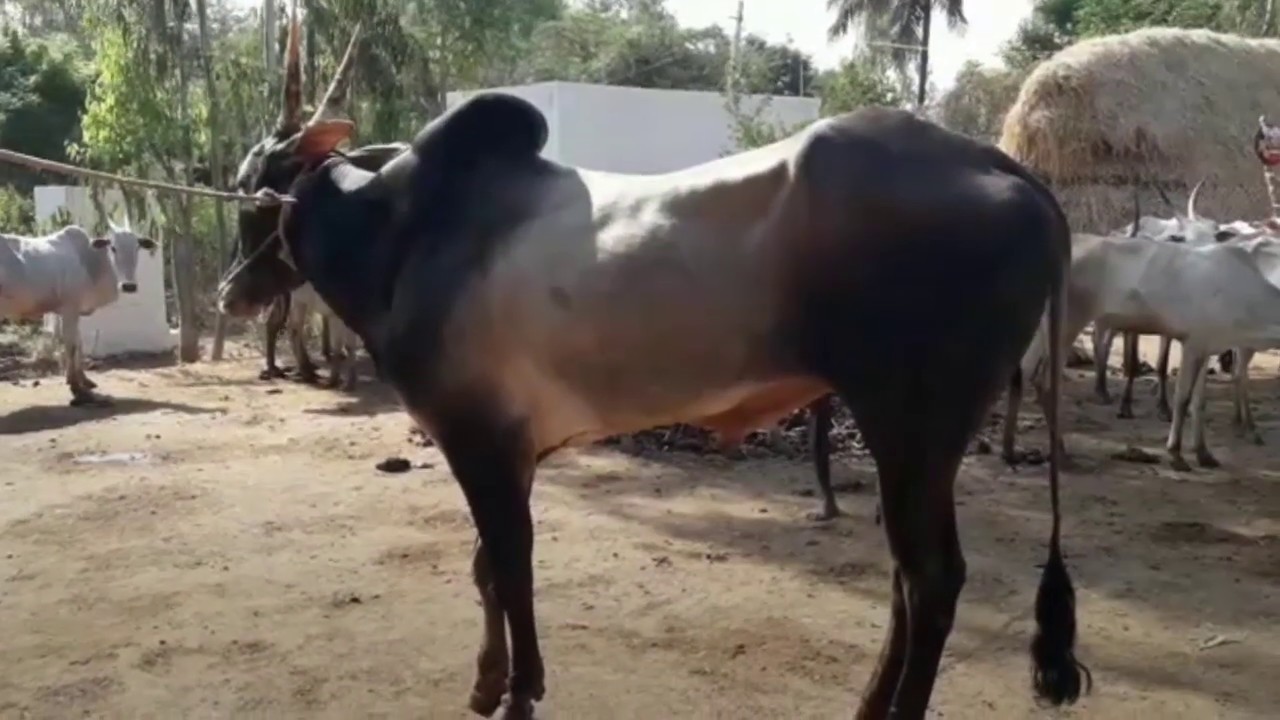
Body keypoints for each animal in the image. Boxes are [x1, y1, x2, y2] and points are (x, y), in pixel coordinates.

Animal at [0, 219, 156, 404]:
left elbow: (79, 343)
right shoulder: (70, 309)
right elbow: (72, 345)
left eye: (137, 247)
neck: (91, 262)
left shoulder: (71, 312)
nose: (129, 286)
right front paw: (77, 389)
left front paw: (83, 380)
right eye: (113, 247)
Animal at [217, 17, 1086, 720]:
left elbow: (511, 567)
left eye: (252, 190)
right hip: (913, 435)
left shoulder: (477, 438)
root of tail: (1007, 170)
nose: (231, 292)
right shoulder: (510, 447)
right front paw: (488, 684)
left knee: (930, 580)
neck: (401, 232)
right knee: (911, 582)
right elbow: (488, 569)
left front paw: (520, 691)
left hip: (914, 421)